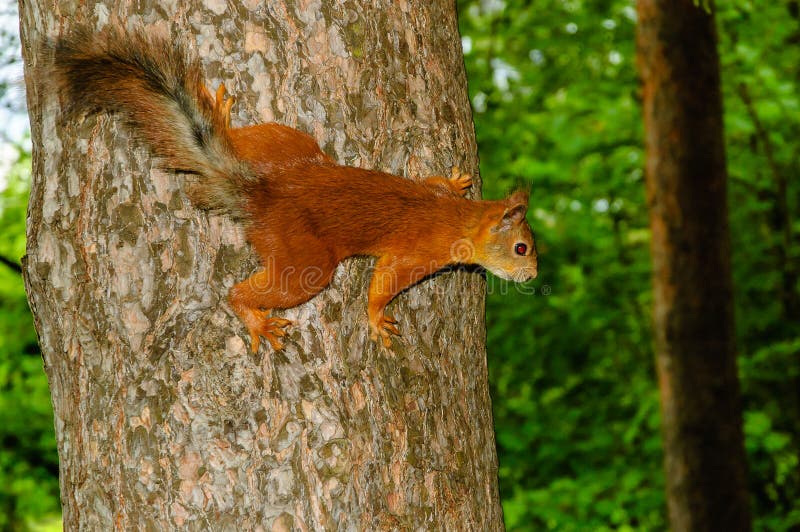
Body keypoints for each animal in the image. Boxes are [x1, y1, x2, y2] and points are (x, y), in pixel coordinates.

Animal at [46, 26, 538, 352]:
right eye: (521, 248)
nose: (532, 277)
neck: (461, 218)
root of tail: (262, 191)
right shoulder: (416, 253)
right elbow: (382, 284)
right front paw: (377, 320)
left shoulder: (435, 195)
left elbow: (434, 180)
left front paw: (454, 177)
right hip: (304, 260)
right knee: (250, 290)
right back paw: (256, 320)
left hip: (286, 146)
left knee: (250, 140)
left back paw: (221, 115)